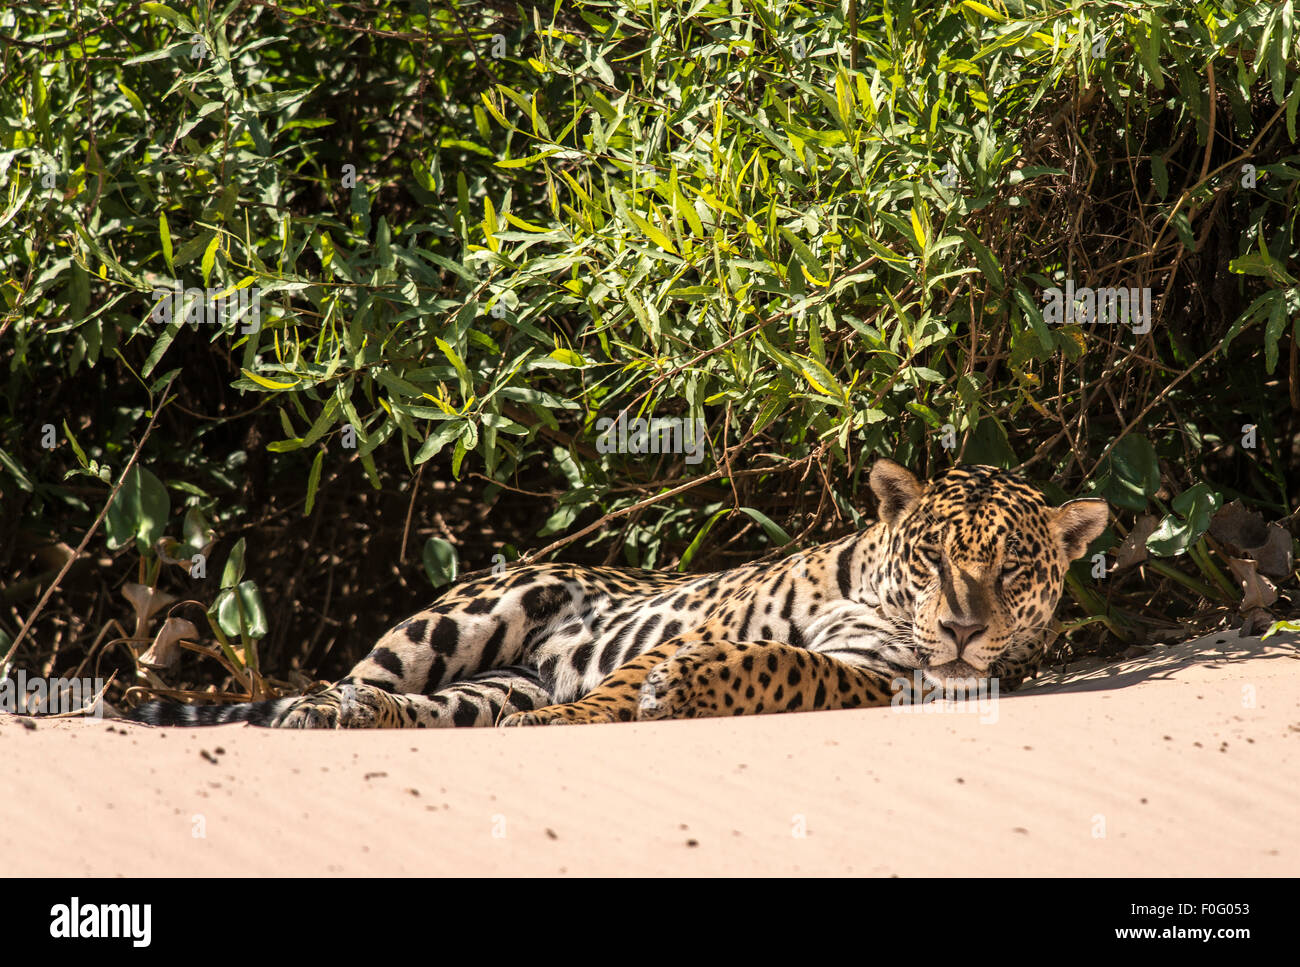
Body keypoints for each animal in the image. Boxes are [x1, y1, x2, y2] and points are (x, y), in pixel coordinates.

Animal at [127, 460, 1107, 729]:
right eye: (933, 558)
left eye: (1013, 571)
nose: (962, 629)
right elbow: (645, 670)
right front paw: (610, 706)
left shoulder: (885, 677)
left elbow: (780, 662)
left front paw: (683, 689)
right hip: (473, 612)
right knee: (352, 679)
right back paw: (320, 711)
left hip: (495, 679)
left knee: (444, 710)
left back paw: (369, 720)